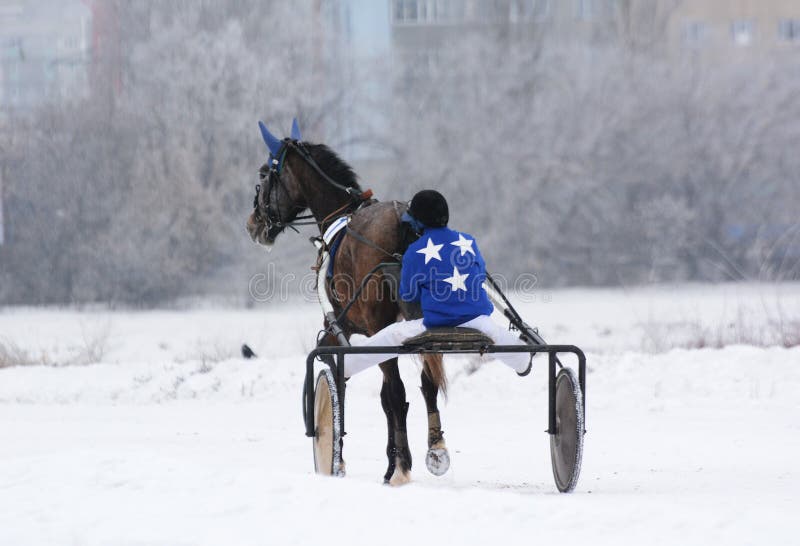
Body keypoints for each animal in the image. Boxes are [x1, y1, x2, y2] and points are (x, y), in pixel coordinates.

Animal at [246, 120, 448, 485]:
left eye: (264, 175)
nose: (253, 224)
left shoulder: (341, 327)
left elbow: (344, 380)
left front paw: (337, 454)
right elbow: (387, 396)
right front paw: (389, 460)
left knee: (398, 393)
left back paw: (402, 466)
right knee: (426, 384)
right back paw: (435, 449)